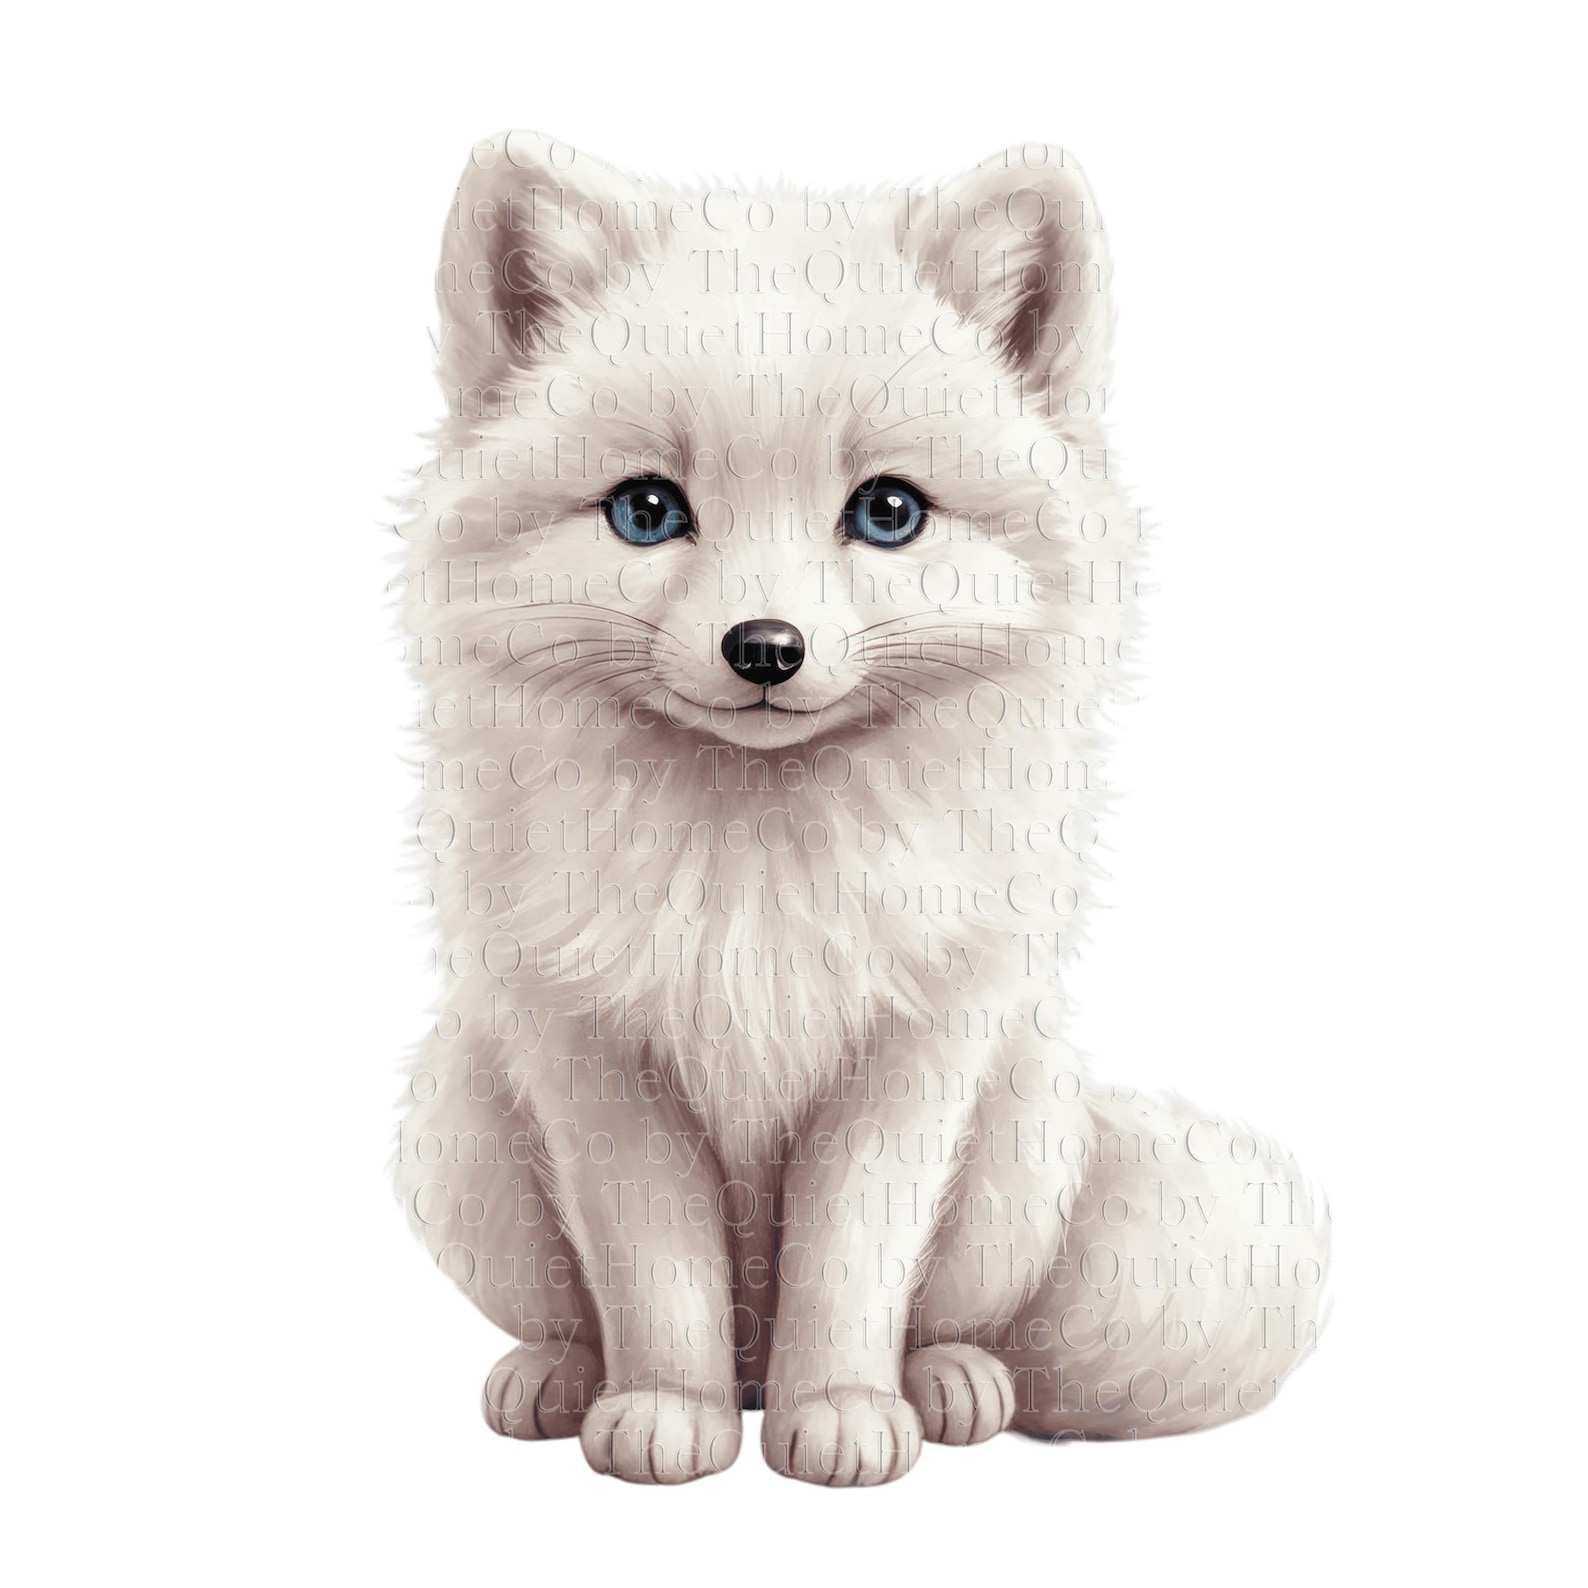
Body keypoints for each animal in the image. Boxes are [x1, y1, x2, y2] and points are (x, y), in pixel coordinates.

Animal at [392, 129, 1329, 1486]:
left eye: (888, 512)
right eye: (644, 510)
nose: (764, 648)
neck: (753, 865)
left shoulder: (911, 1053)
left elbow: (852, 1266)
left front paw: (839, 1415)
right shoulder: (595, 1055)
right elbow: (656, 1272)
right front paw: (663, 1412)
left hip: (1023, 1128)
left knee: (956, 1316)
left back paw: (945, 1383)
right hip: (458, 1116)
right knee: (587, 1312)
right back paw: (568, 1377)